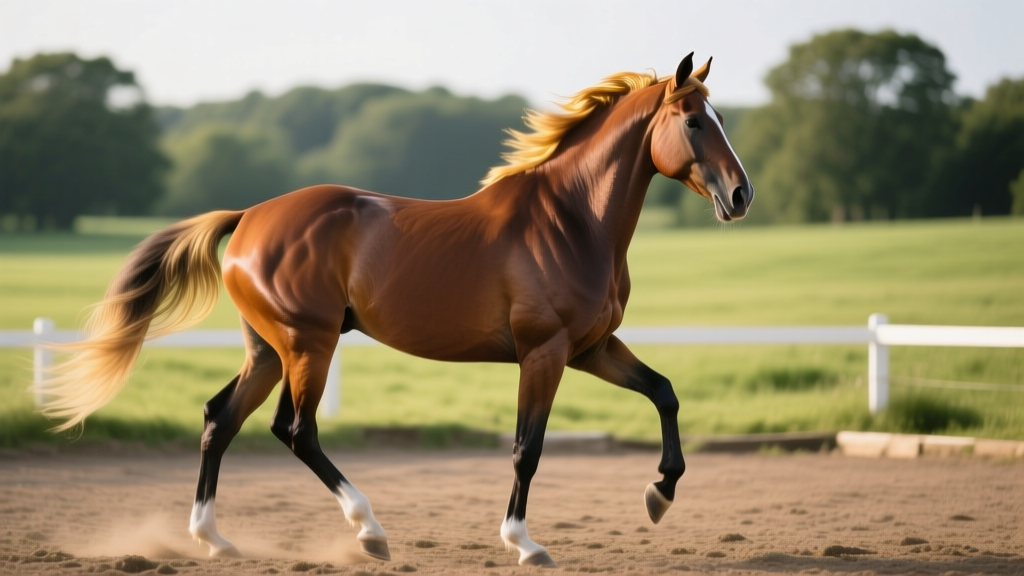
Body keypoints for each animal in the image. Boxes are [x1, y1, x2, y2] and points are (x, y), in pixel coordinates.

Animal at [40, 52, 752, 567]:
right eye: (695, 121)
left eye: (720, 117)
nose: (741, 195)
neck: (570, 221)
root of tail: (247, 219)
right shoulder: (544, 352)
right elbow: (527, 447)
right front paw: (524, 543)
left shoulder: (591, 348)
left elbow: (664, 392)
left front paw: (659, 494)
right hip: (309, 343)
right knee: (296, 430)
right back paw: (369, 531)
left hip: (268, 349)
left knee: (222, 419)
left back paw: (214, 539)